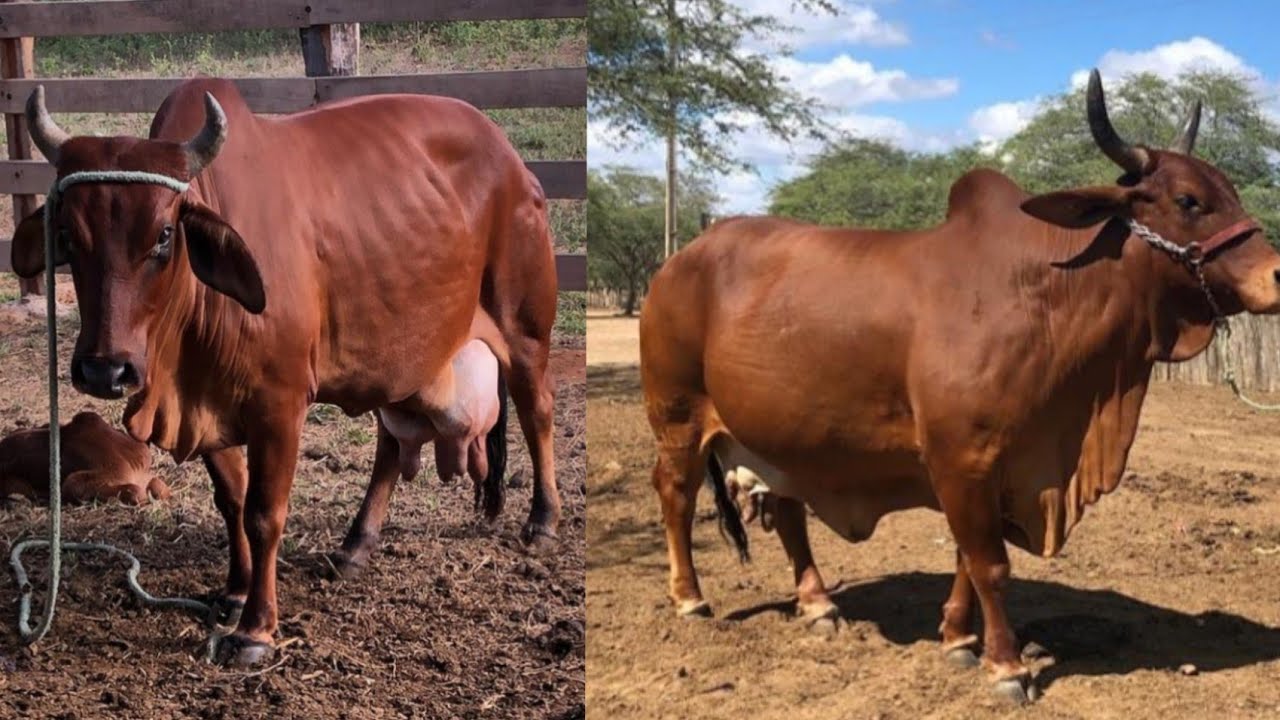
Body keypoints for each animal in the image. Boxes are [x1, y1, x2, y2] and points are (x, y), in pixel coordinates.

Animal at [639, 69, 1280, 704]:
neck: (1045, 296)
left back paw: (818, 605)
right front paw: (1007, 666)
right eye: (1188, 200)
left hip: (780, 434)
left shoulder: (993, 466)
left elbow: (967, 560)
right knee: (675, 494)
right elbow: (989, 564)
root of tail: (678, 259)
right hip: (677, 415)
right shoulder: (962, 459)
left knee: (788, 510)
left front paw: (958, 639)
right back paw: (690, 598)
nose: (1277, 275)